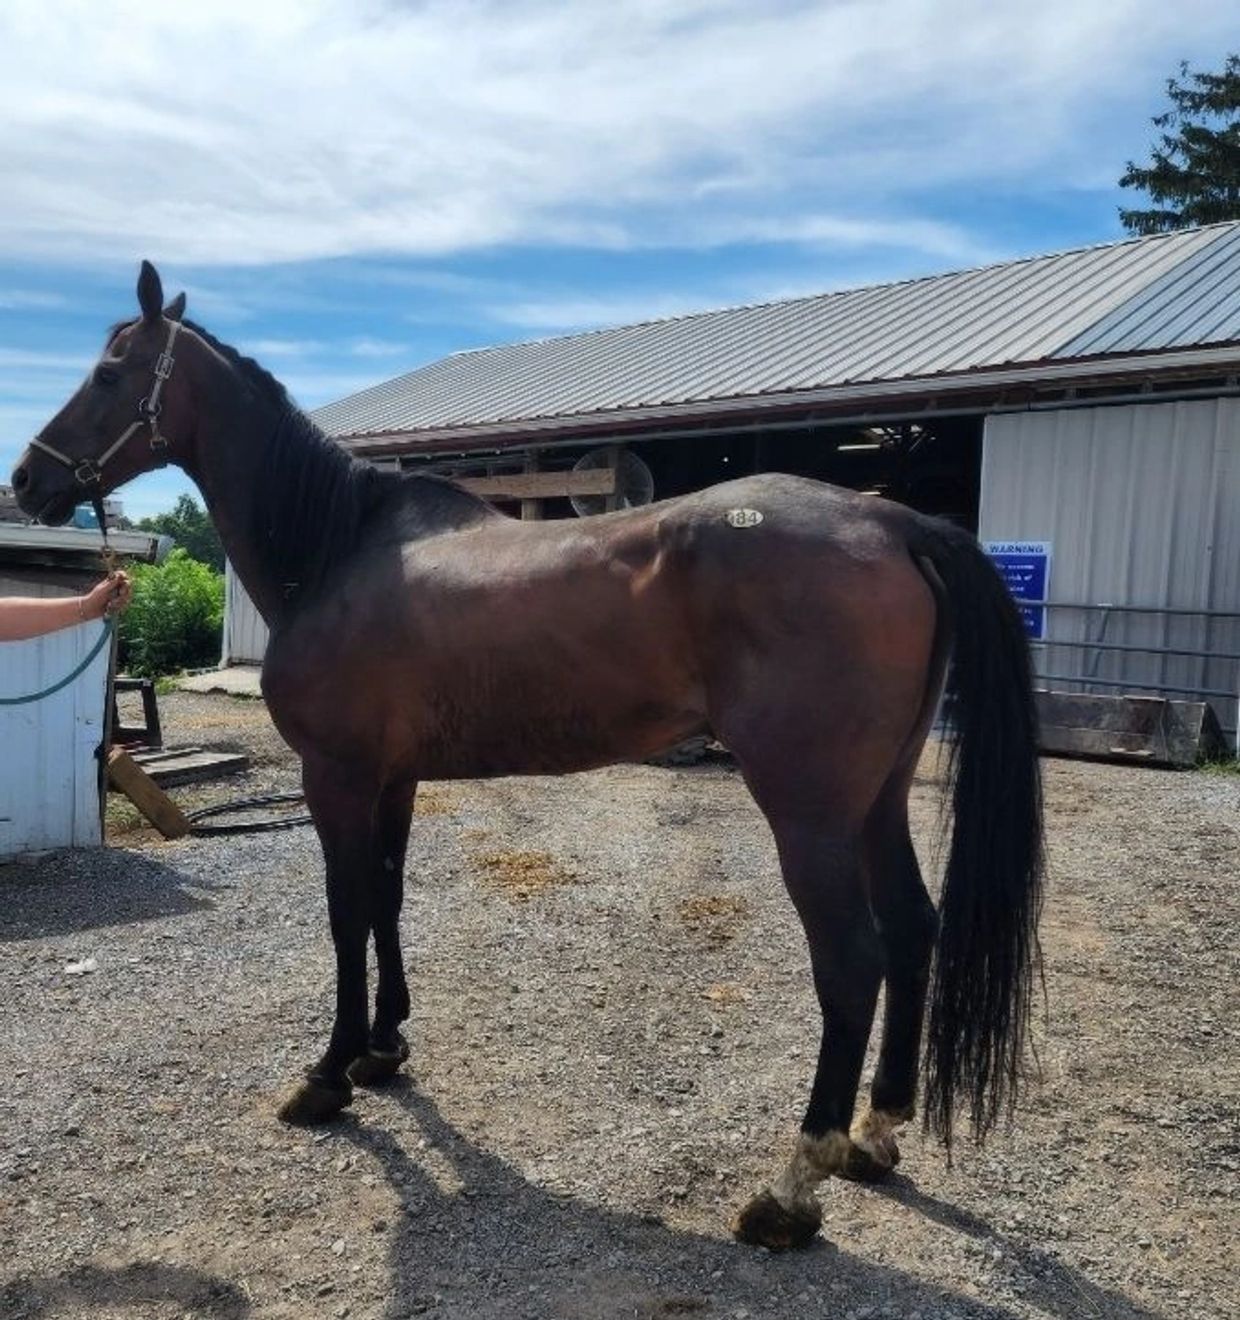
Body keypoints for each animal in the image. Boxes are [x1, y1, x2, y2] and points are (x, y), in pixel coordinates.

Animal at [11, 262, 1043, 1250]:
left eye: (109, 374)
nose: (27, 480)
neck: (339, 548)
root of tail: (891, 524)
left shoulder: (336, 776)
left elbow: (345, 916)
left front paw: (329, 1073)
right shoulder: (393, 778)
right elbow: (385, 900)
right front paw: (383, 1049)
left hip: (809, 810)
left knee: (853, 960)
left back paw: (791, 1188)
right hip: (878, 796)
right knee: (911, 928)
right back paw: (875, 1134)